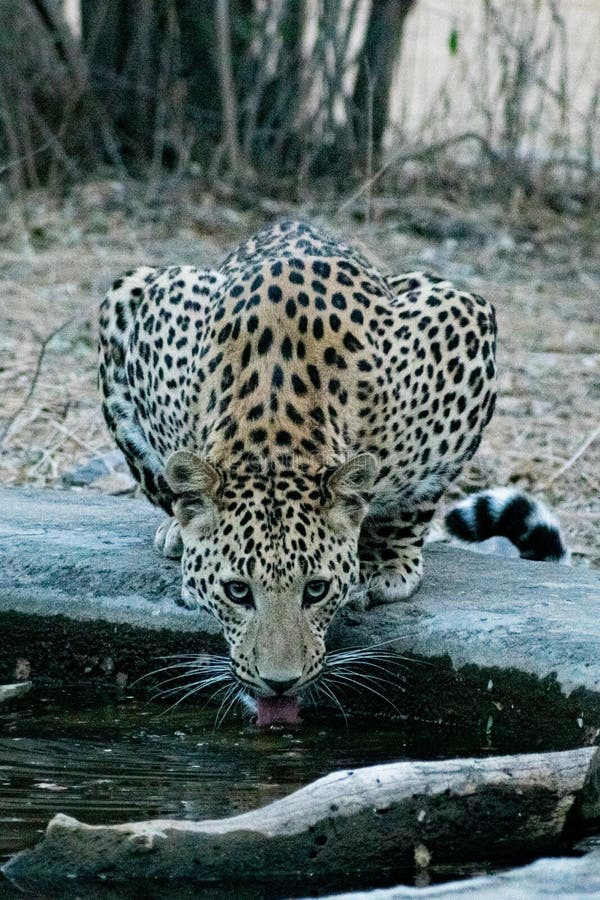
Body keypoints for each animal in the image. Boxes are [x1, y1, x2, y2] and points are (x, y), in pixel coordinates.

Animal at [98, 220, 498, 725]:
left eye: (316, 590)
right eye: (237, 591)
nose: (279, 682)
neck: (274, 428)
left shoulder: (462, 320)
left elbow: (416, 500)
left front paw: (384, 563)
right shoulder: (149, 305)